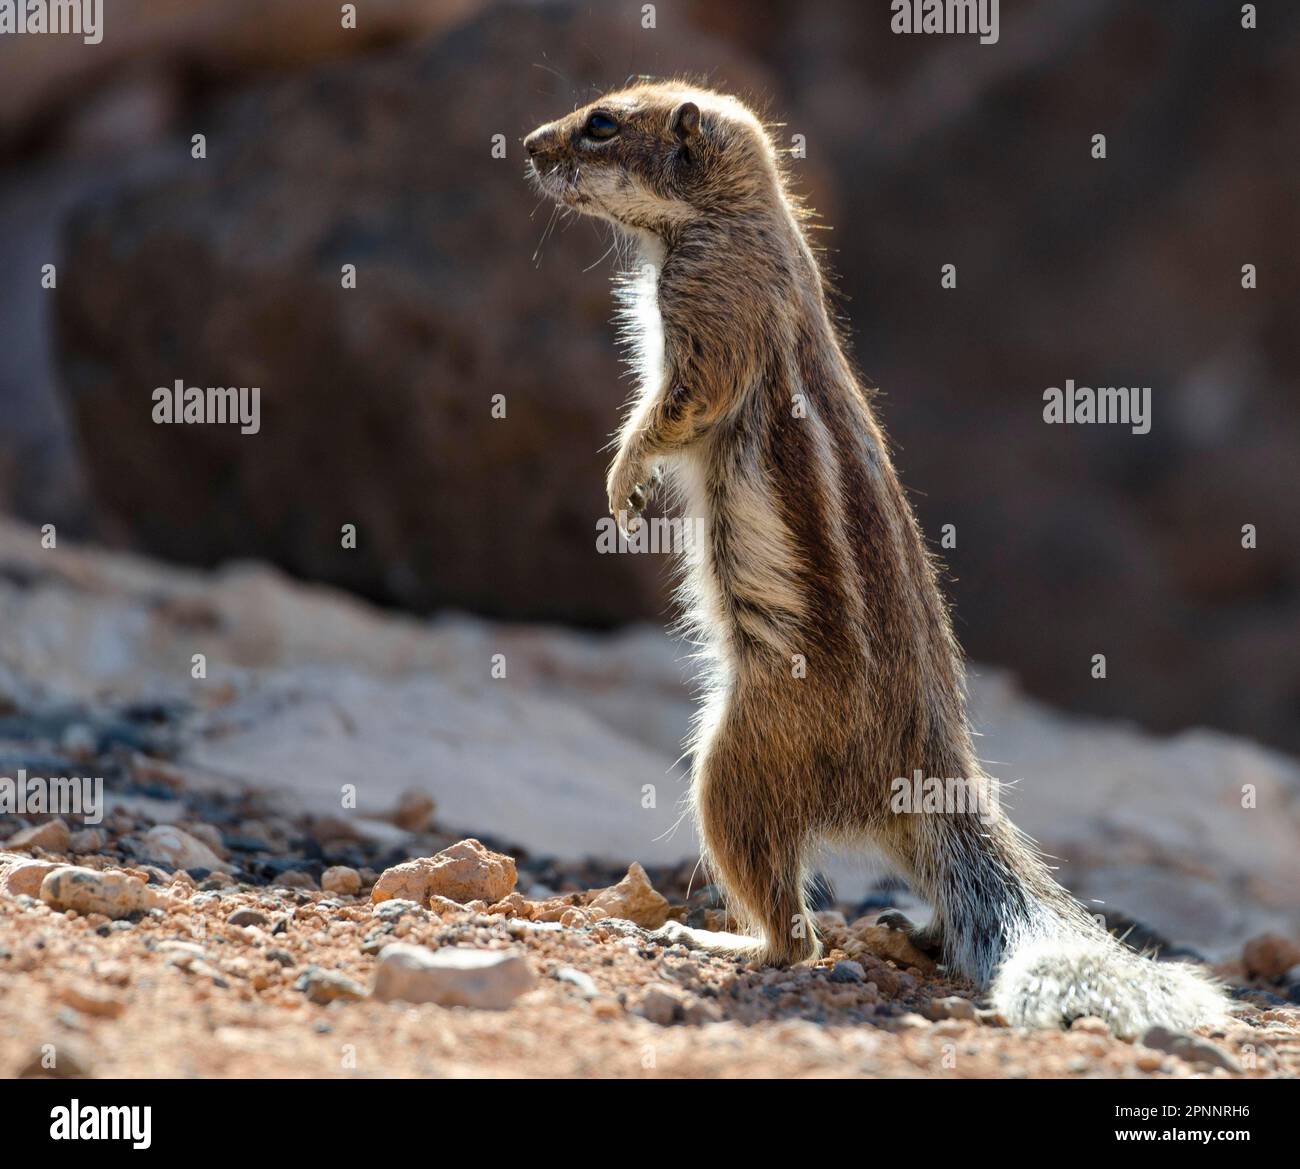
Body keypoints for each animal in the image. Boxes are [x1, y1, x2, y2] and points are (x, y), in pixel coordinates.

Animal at [525, 81, 1226, 1037]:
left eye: (601, 122)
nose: (527, 145)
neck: (738, 218)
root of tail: (935, 767)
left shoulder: (712, 308)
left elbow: (675, 408)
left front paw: (622, 481)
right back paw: (907, 935)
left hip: (735, 759)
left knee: (794, 930)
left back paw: (717, 940)